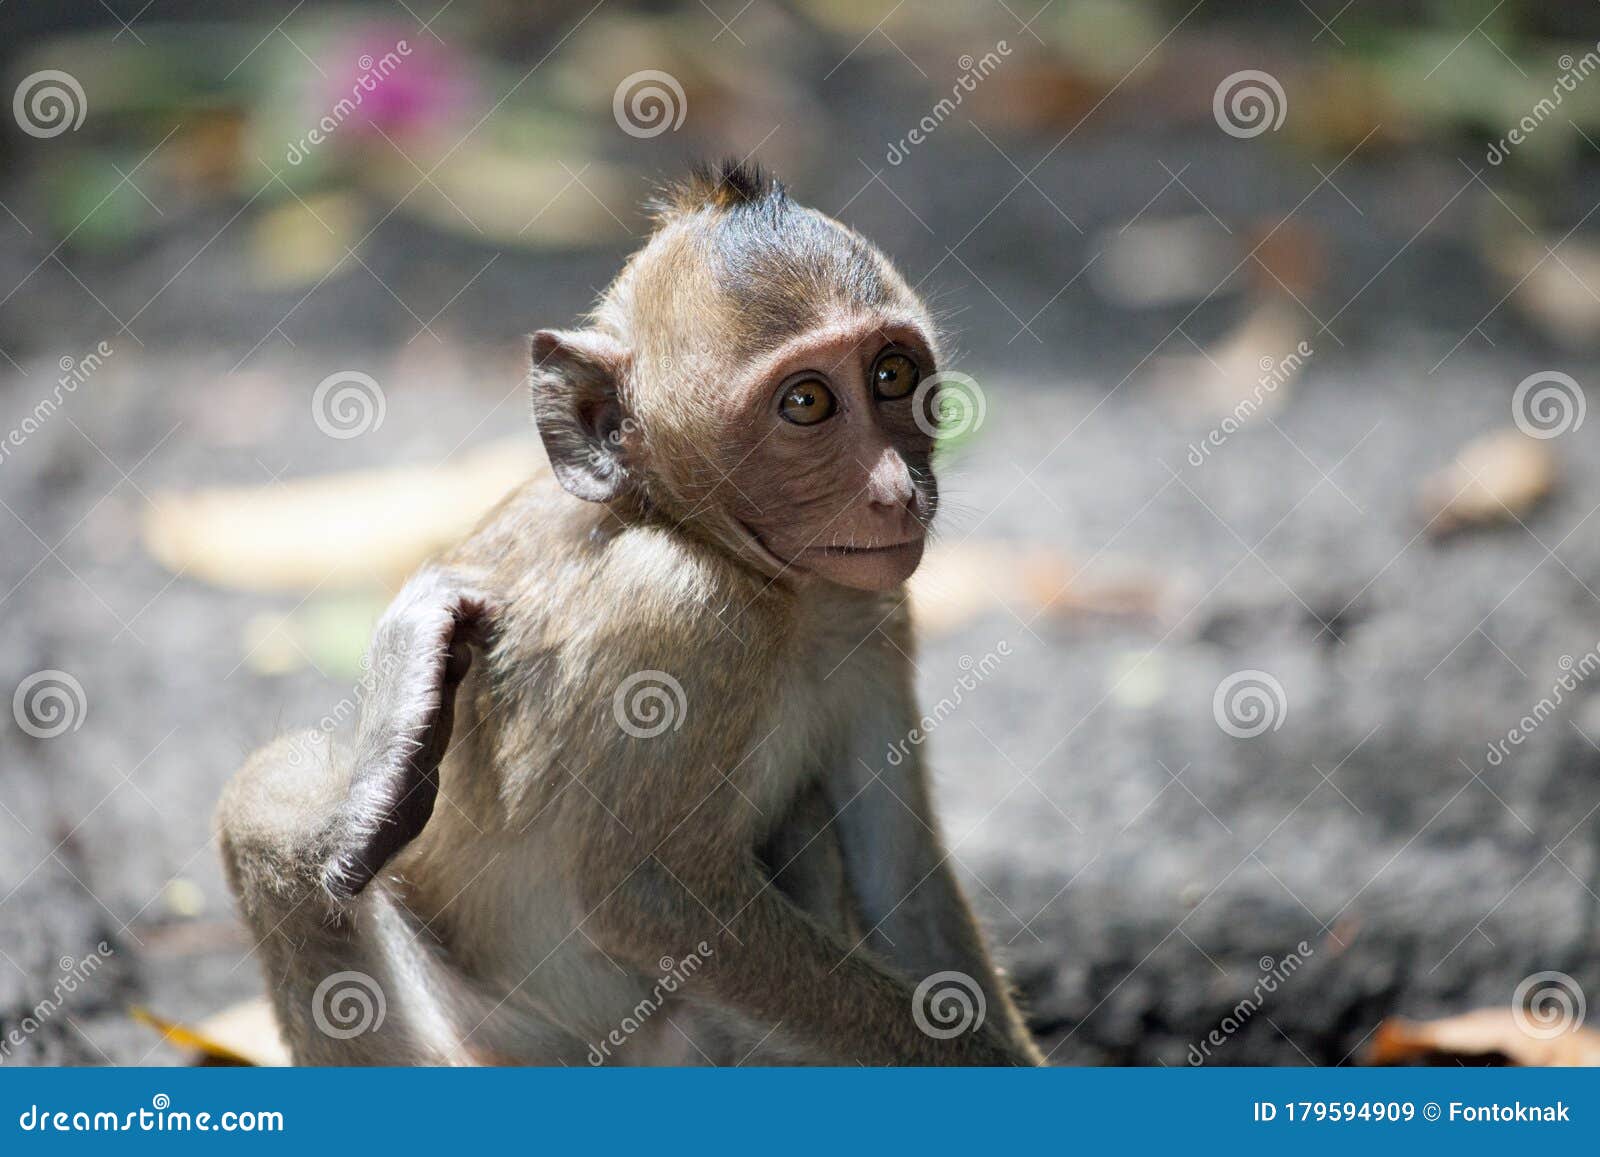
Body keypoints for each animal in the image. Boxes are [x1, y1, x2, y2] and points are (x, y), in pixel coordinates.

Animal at [216, 160, 1045, 1067]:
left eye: (892, 375)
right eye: (806, 404)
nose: (896, 491)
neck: (751, 577)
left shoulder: (873, 614)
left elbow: (900, 879)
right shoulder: (674, 607)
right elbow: (647, 897)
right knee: (265, 804)